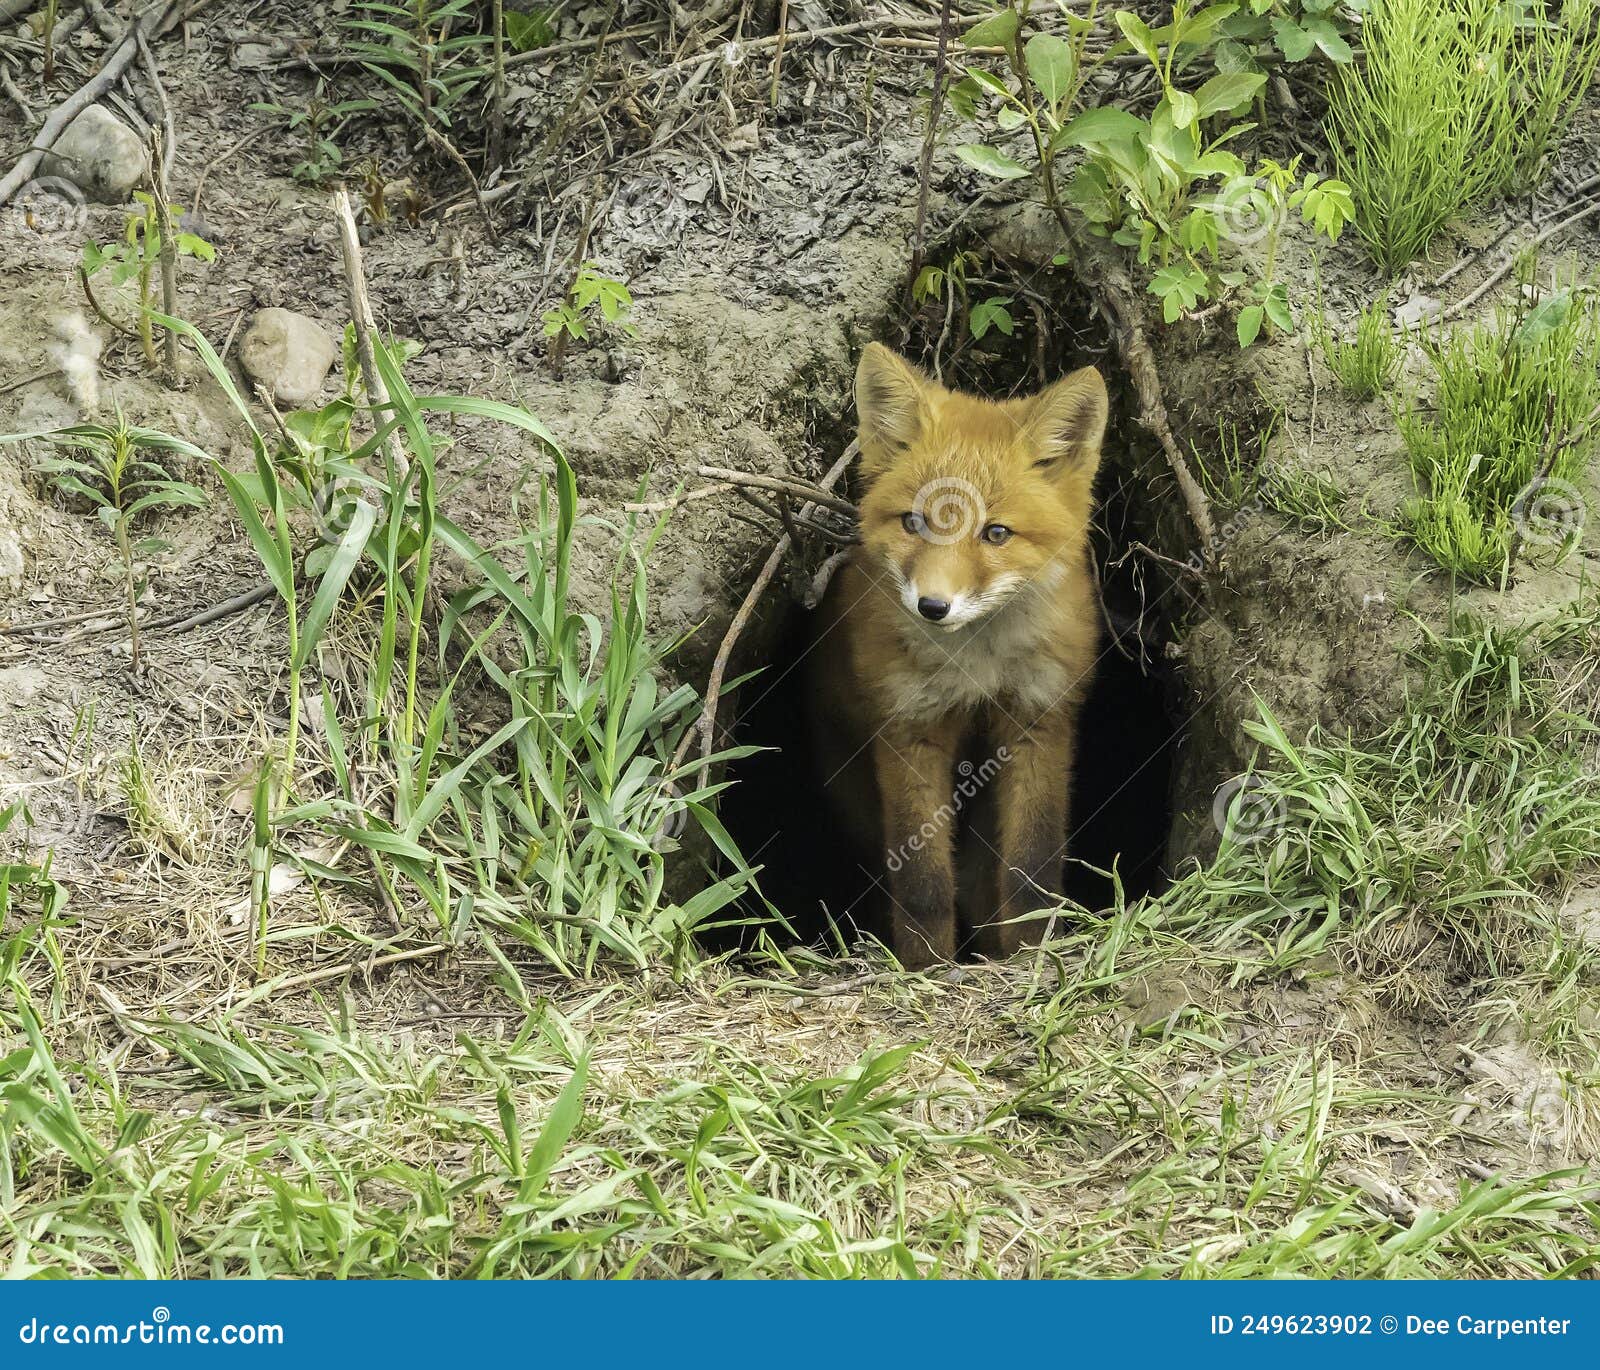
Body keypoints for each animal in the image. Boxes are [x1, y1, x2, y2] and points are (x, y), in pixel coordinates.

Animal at [804, 342, 1107, 969]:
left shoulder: (1040, 721)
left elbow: (1031, 870)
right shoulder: (908, 731)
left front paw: (1030, 955)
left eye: (996, 533)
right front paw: (927, 966)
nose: (932, 606)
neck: (979, 666)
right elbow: (922, 882)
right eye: (914, 522)